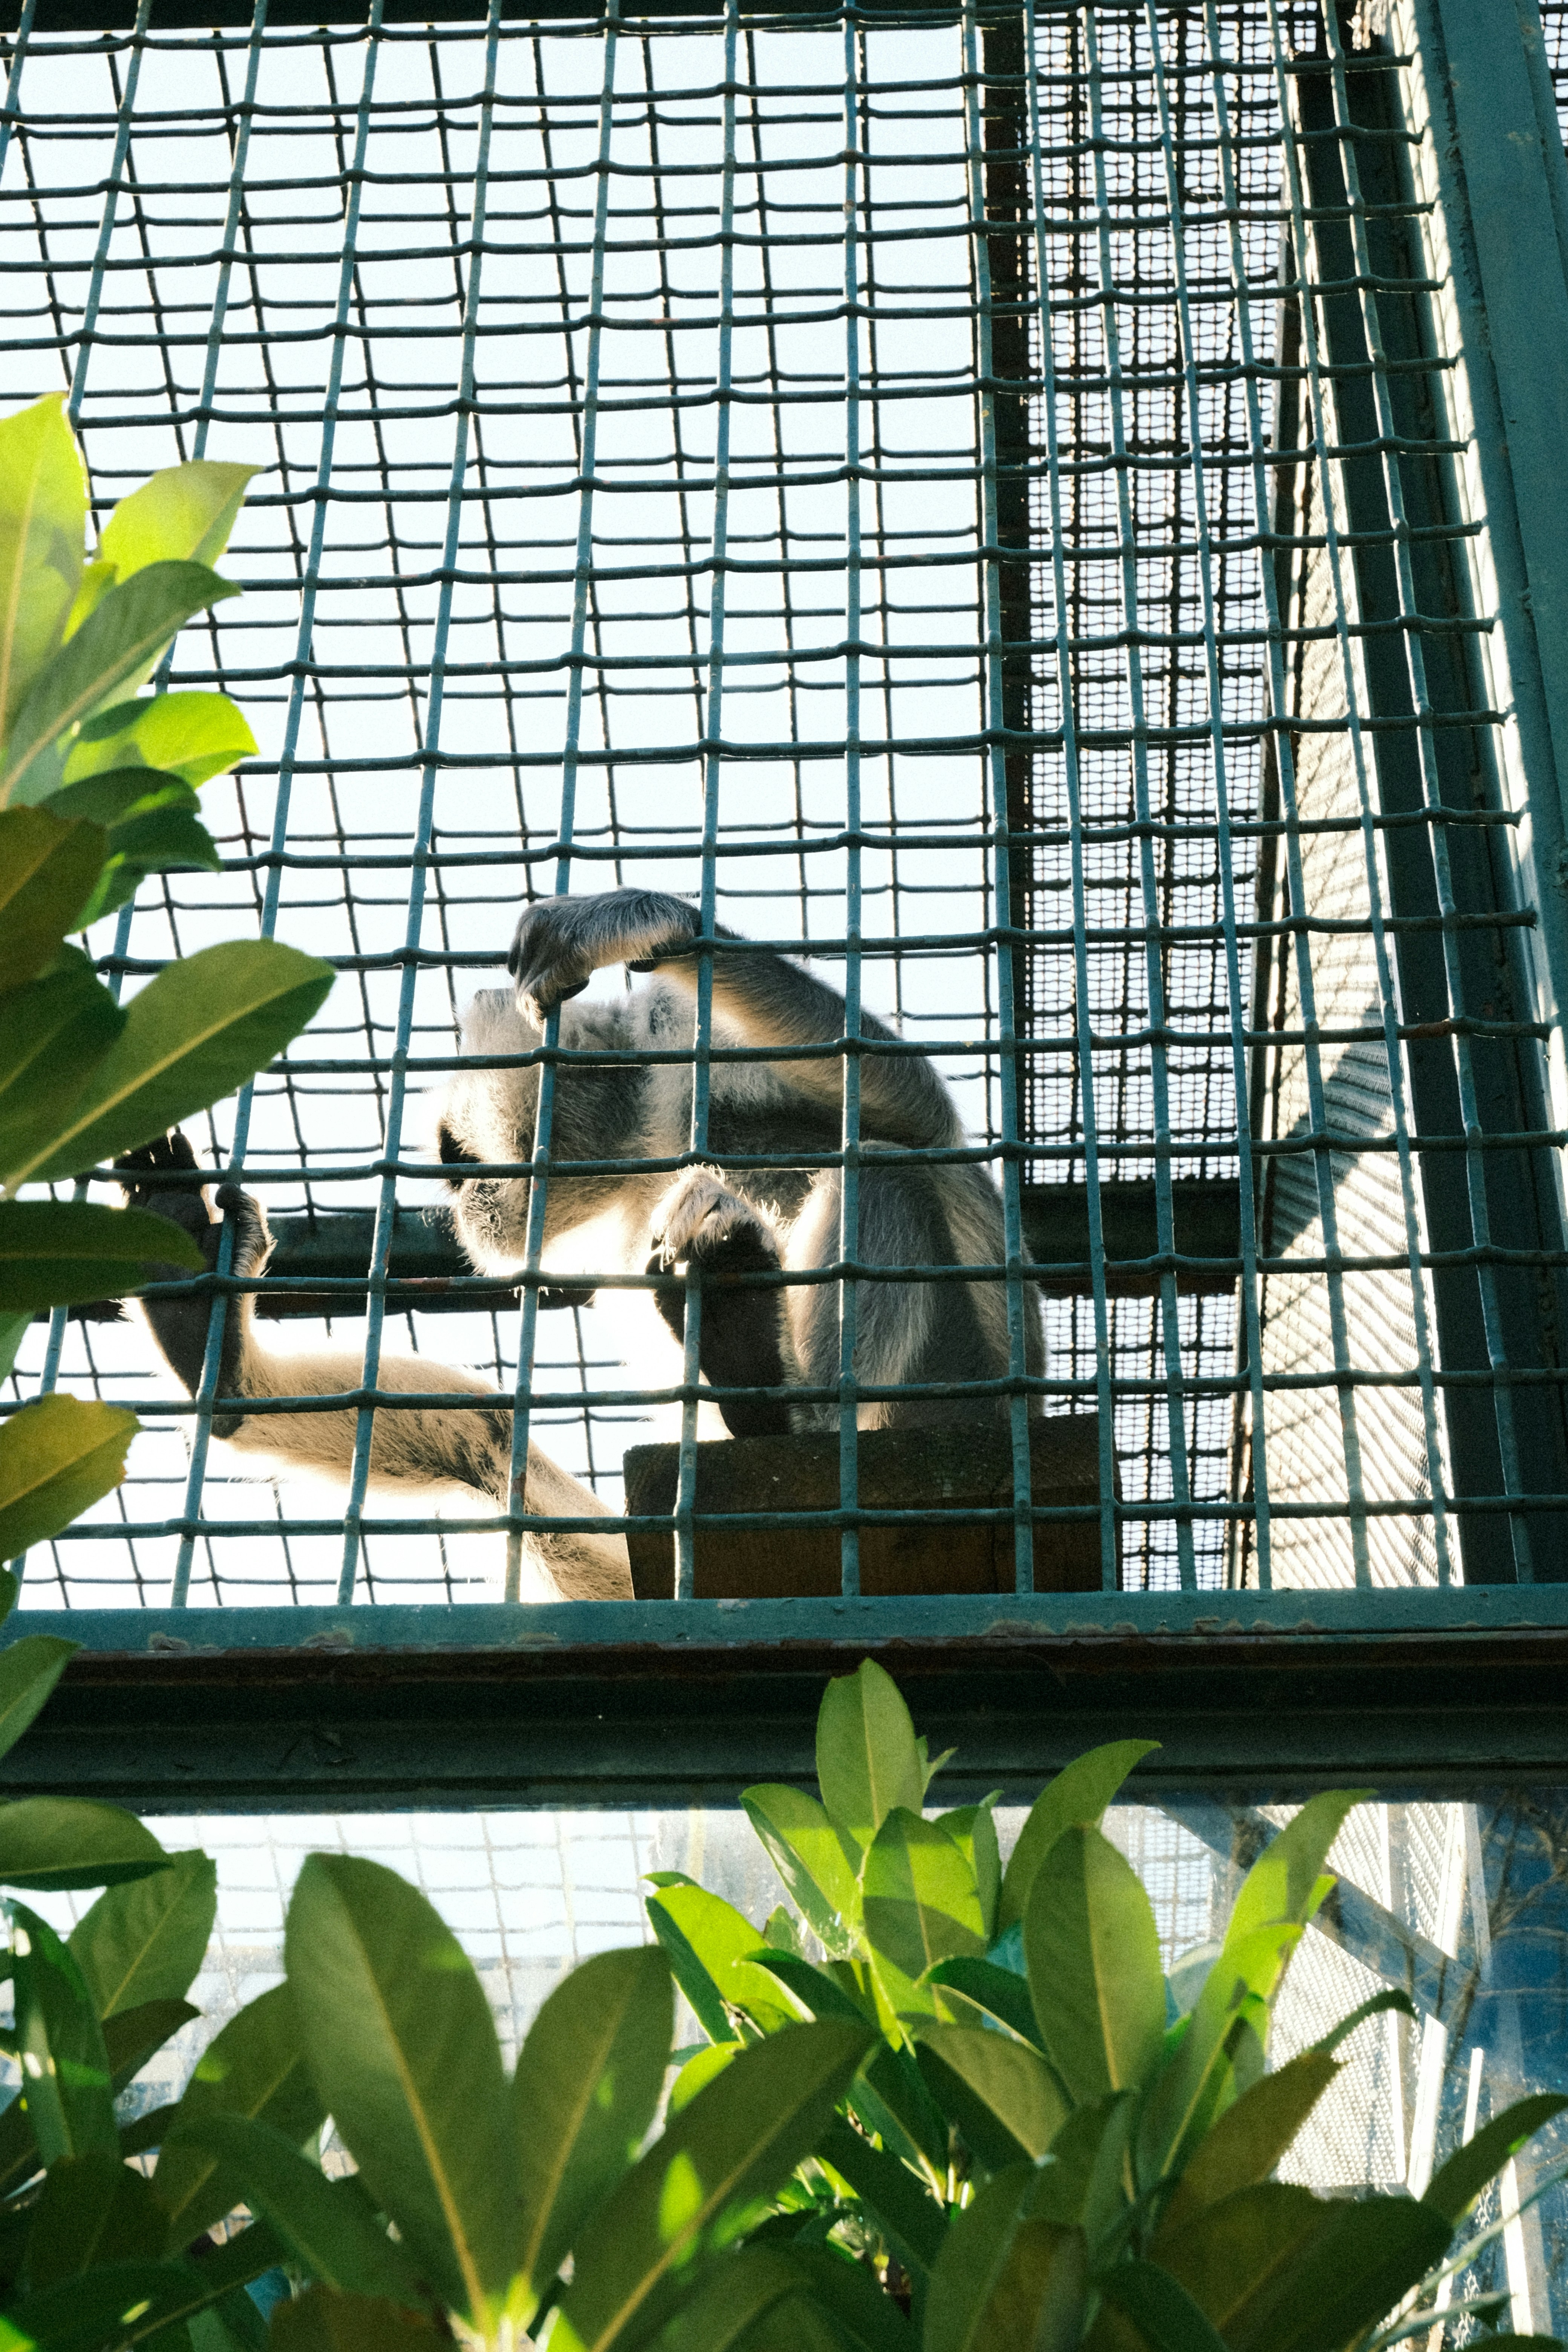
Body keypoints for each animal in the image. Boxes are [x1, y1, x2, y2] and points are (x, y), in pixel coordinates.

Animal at [118, 887, 1046, 1601]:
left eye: (457, 1154)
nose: (456, 1195)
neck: (651, 1140)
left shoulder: (685, 1034)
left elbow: (922, 1118)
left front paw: (656, 920)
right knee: (492, 1442)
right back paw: (214, 1355)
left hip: (952, 1403)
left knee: (888, 1167)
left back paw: (794, 1412)